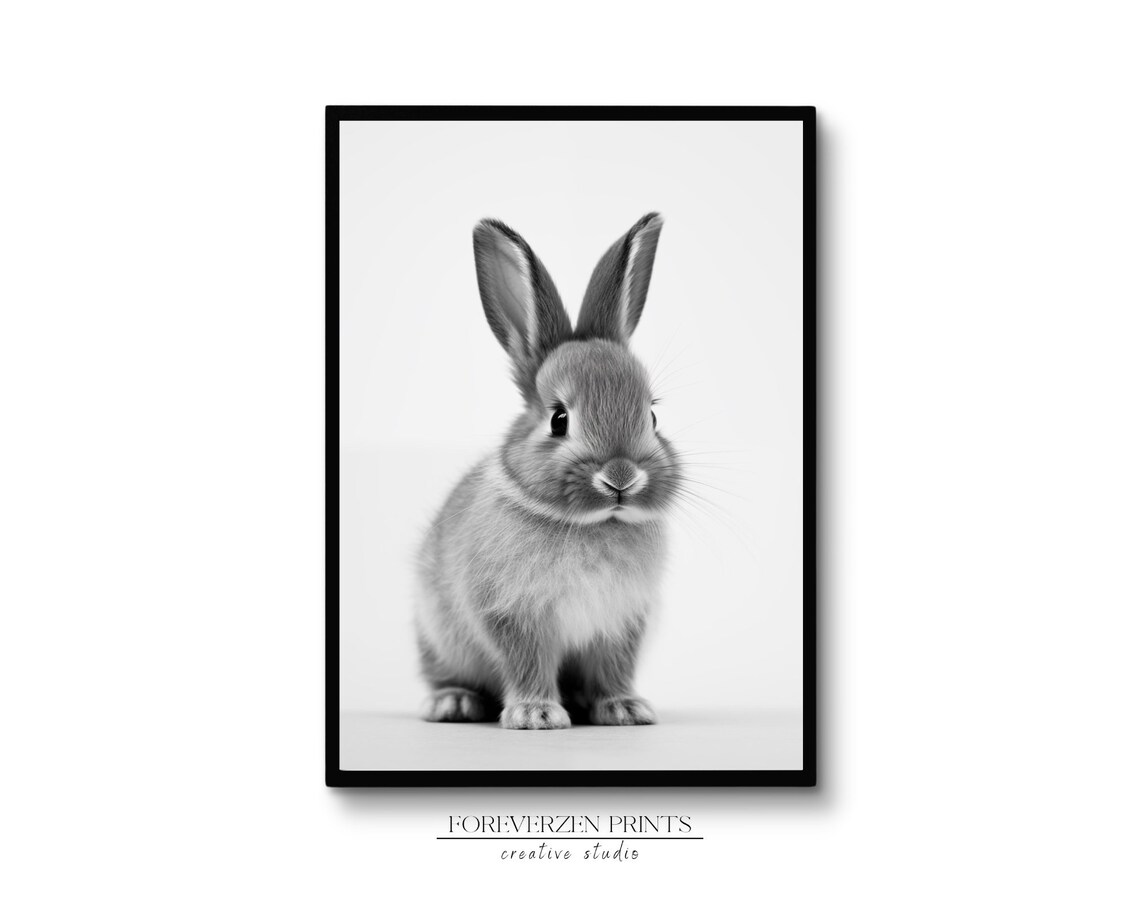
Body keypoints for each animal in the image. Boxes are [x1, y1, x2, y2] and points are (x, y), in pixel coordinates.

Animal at [413, 213, 682, 730]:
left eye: (653, 416)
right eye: (559, 419)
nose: (621, 477)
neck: (594, 526)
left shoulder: (622, 623)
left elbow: (615, 668)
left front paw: (625, 709)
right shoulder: (513, 616)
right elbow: (527, 662)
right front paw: (536, 714)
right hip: (438, 636)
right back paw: (453, 703)